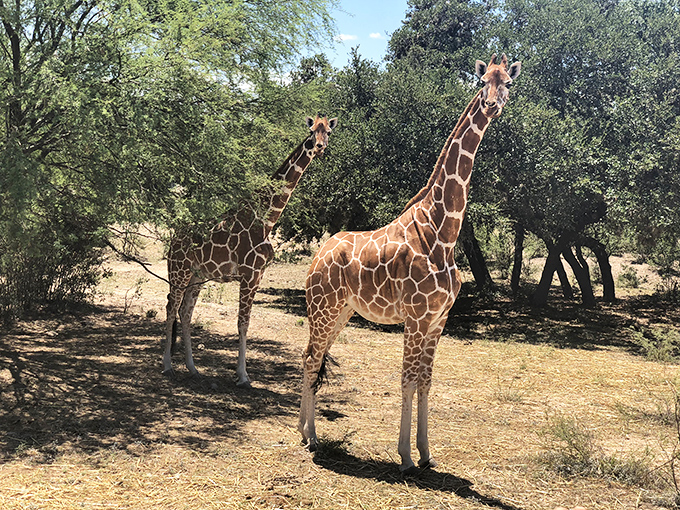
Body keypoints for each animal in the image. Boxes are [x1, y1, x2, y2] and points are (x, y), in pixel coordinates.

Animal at [164, 115, 338, 387]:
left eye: (328, 131)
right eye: (311, 131)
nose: (320, 147)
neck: (266, 220)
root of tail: (173, 239)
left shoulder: (258, 276)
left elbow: (246, 322)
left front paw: (242, 373)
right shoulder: (248, 273)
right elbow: (242, 323)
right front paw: (243, 376)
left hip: (197, 276)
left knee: (185, 311)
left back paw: (193, 368)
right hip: (179, 270)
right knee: (172, 307)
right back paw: (167, 366)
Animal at [298, 55, 520, 473]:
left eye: (508, 83)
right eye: (482, 80)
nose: (492, 105)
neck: (444, 232)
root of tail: (317, 255)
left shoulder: (438, 320)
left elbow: (426, 381)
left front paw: (427, 453)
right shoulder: (416, 318)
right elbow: (407, 380)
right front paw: (404, 456)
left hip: (341, 312)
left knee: (313, 358)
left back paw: (304, 431)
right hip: (322, 309)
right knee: (310, 358)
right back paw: (310, 437)